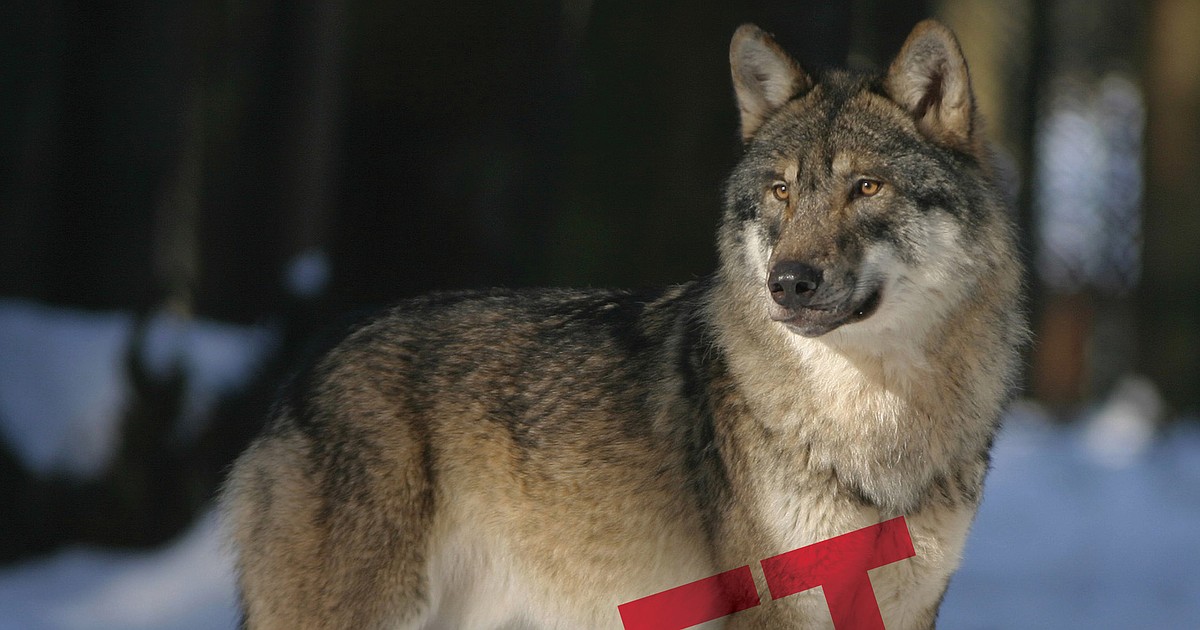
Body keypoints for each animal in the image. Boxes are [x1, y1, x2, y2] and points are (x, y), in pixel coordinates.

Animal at [222, 19, 1024, 629]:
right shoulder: (777, 610)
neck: (875, 424)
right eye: (781, 192)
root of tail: (307, 362)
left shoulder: (908, 609)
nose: (788, 282)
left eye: (867, 187)